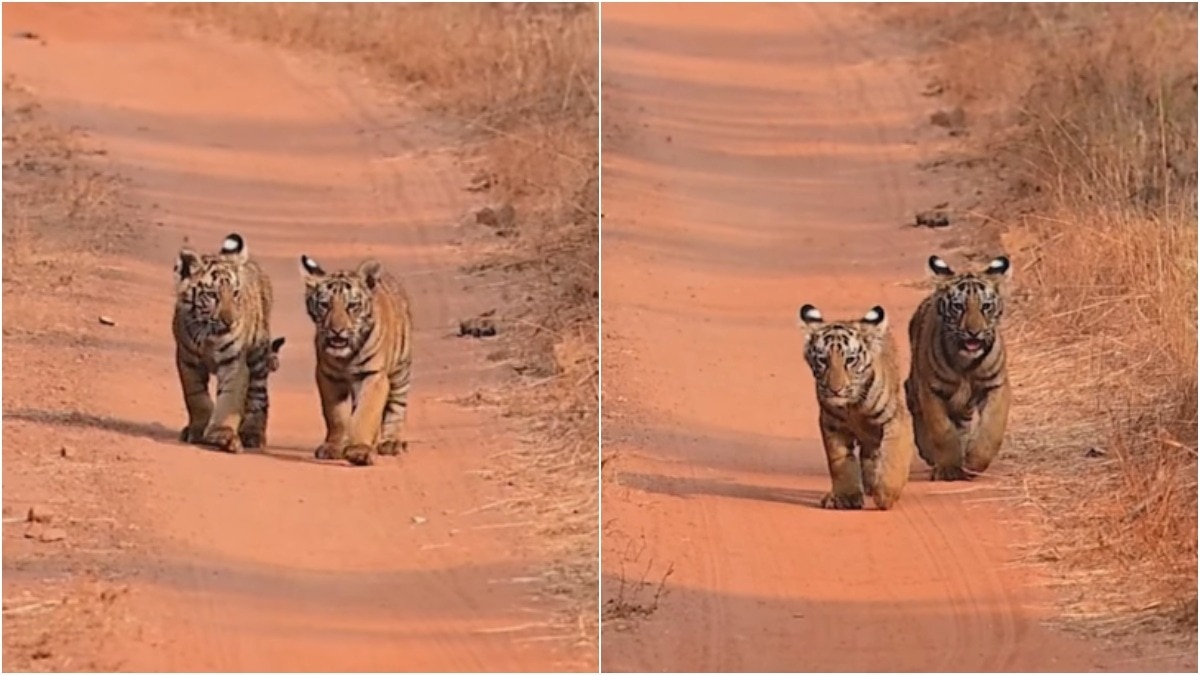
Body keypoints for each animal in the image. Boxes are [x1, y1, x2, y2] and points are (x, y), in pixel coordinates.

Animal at [173, 233, 276, 453]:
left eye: (235, 293)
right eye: (212, 295)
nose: (230, 321)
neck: (209, 335)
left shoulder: (234, 363)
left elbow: (229, 398)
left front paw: (223, 435)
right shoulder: (187, 361)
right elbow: (196, 397)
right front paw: (198, 429)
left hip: (258, 357)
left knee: (259, 396)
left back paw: (253, 434)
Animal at [300, 254, 413, 467]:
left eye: (352, 306)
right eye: (324, 305)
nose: (337, 330)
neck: (346, 357)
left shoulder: (374, 377)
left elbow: (366, 413)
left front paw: (359, 450)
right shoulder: (328, 377)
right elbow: (335, 415)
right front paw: (333, 447)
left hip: (400, 373)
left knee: (395, 408)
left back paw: (390, 442)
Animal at [798, 304, 915, 510]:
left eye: (850, 360)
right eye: (823, 360)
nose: (835, 389)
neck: (852, 405)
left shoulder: (897, 418)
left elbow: (894, 456)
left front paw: (886, 495)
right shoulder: (831, 425)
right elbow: (839, 461)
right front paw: (846, 497)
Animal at [904, 254, 1012, 481]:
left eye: (986, 306)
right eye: (958, 306)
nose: (974, 332)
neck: (966, 363)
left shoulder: (996, 386)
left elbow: (992, 427)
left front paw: (975, 462)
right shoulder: (931, 390)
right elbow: (942, 430)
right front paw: (948, 469)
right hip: (916, 383)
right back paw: (929, 453)